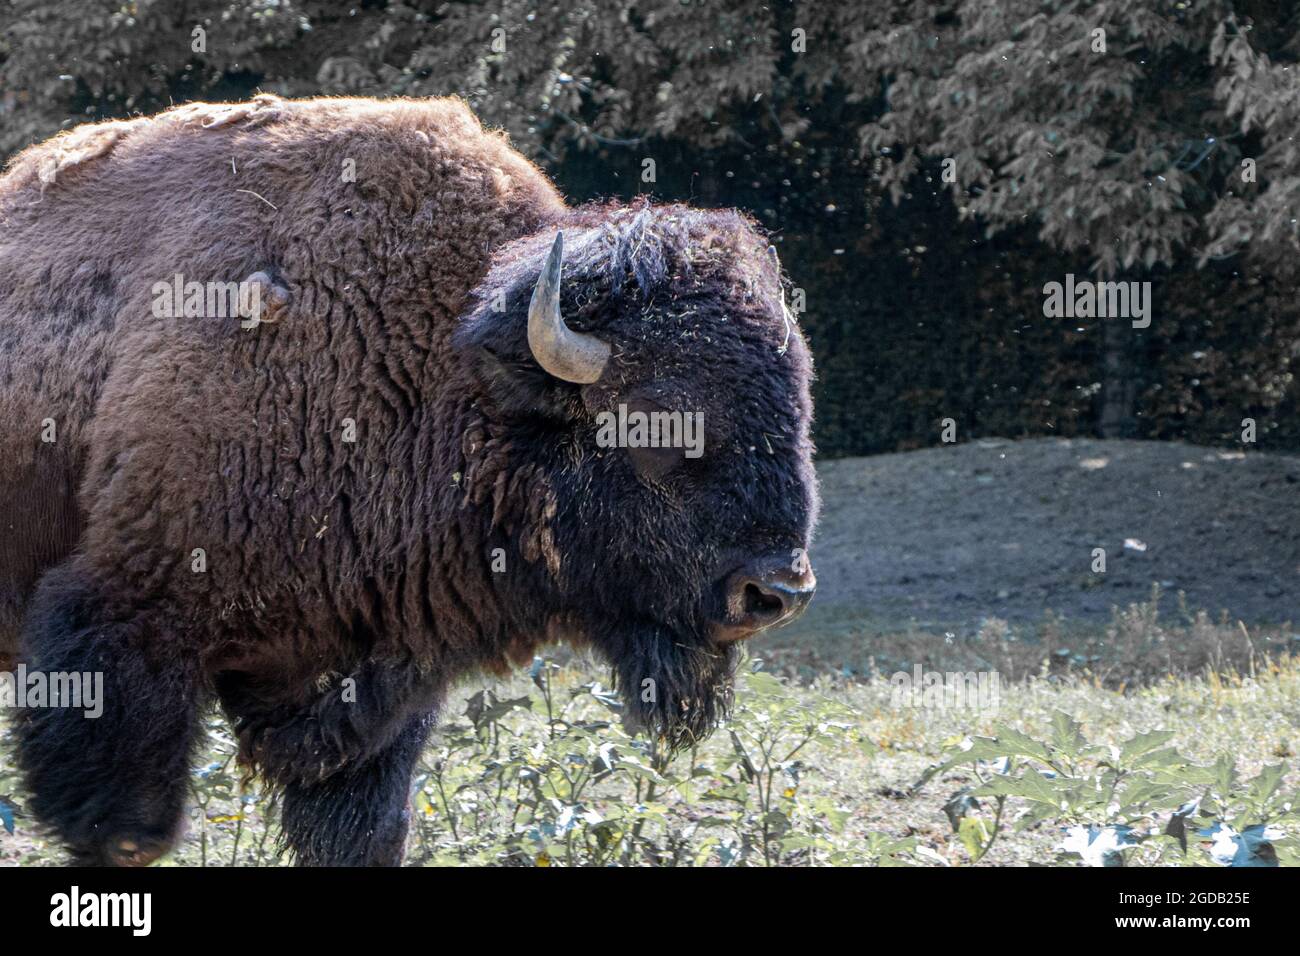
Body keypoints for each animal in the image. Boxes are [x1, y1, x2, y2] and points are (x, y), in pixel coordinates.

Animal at [0, 95, 818, 865]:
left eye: (798, 406)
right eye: (658, 417)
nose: (777, 591)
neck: (445, 368)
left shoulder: (369, 686)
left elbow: (361, 828)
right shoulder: (129, 613)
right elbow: (126, 829)